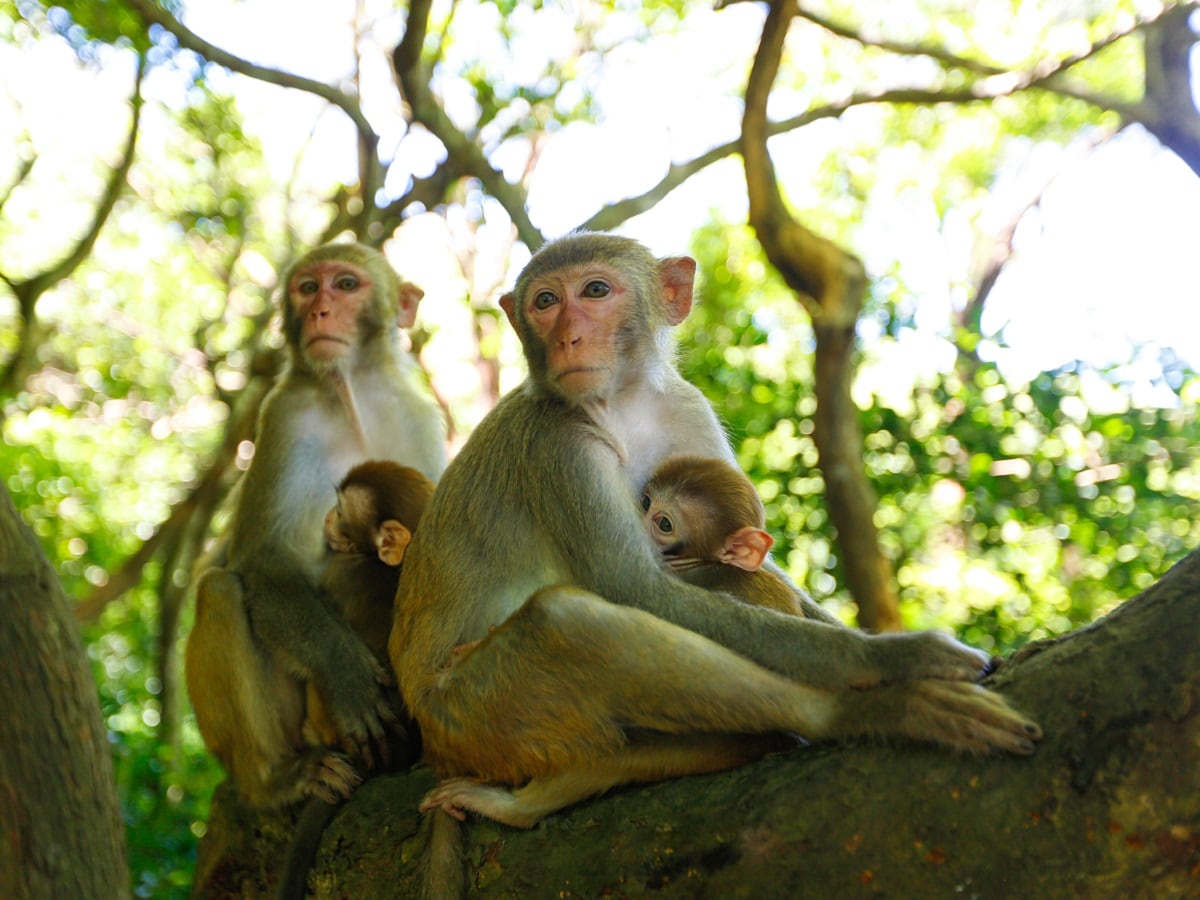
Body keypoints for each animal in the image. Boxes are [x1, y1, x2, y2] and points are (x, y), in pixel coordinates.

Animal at [185, 241, 447, 813]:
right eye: (307, 288)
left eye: (345, 285)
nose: (320, 311)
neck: (350, 393)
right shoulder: (285, 417)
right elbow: (265, 562)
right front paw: (349, 678)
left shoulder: (419, 415)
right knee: (220, 589)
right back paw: (276, 778)